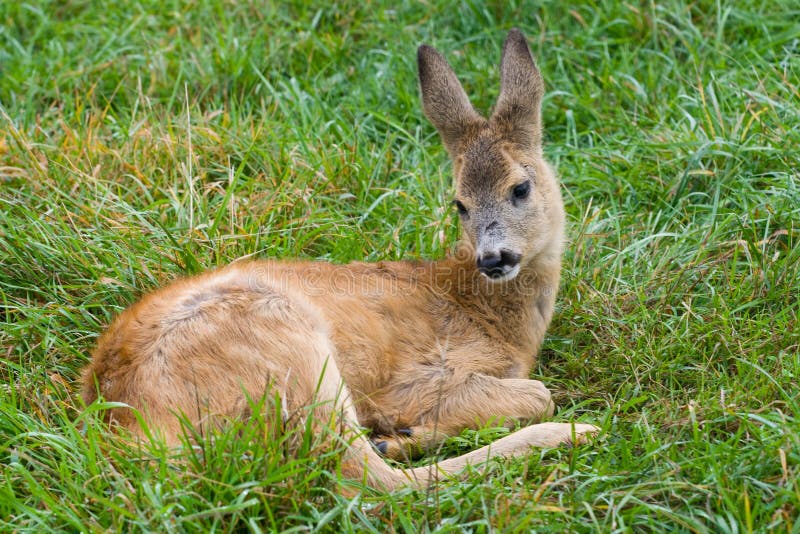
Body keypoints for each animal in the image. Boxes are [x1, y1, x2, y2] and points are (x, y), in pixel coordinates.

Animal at [81, 28, 598, 491]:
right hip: (288, 348)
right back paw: (573, 433)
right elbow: (539, 394)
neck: (496, 320)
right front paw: (409, 428)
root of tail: (133, 430)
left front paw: (406, 433)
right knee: (367, 478)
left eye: (520, 188)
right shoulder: (423, 375)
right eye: (460, 204)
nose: (492, 258)